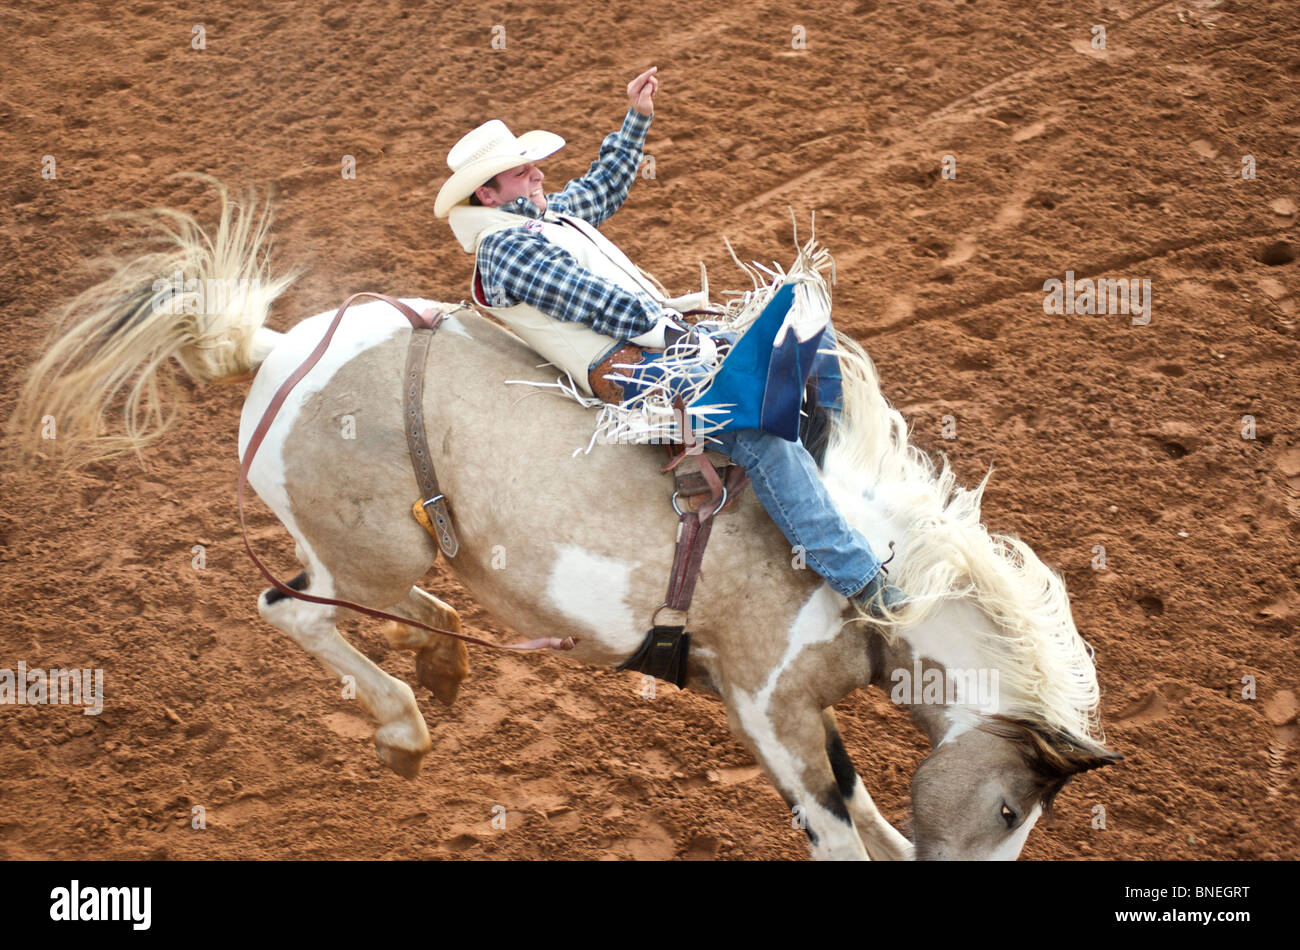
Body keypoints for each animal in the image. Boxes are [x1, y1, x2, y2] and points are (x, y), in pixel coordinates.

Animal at [8, 179, 1122, 860]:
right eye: (1010, 805)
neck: (877, 578)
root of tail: (277, 349)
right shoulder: (769, 703)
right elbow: (838, 825)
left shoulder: (789, 710)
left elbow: (859, 806)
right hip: (365, 551)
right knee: (294, 609)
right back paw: (404, 725)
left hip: (383, 551)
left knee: (384, 607)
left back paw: (441, 666)